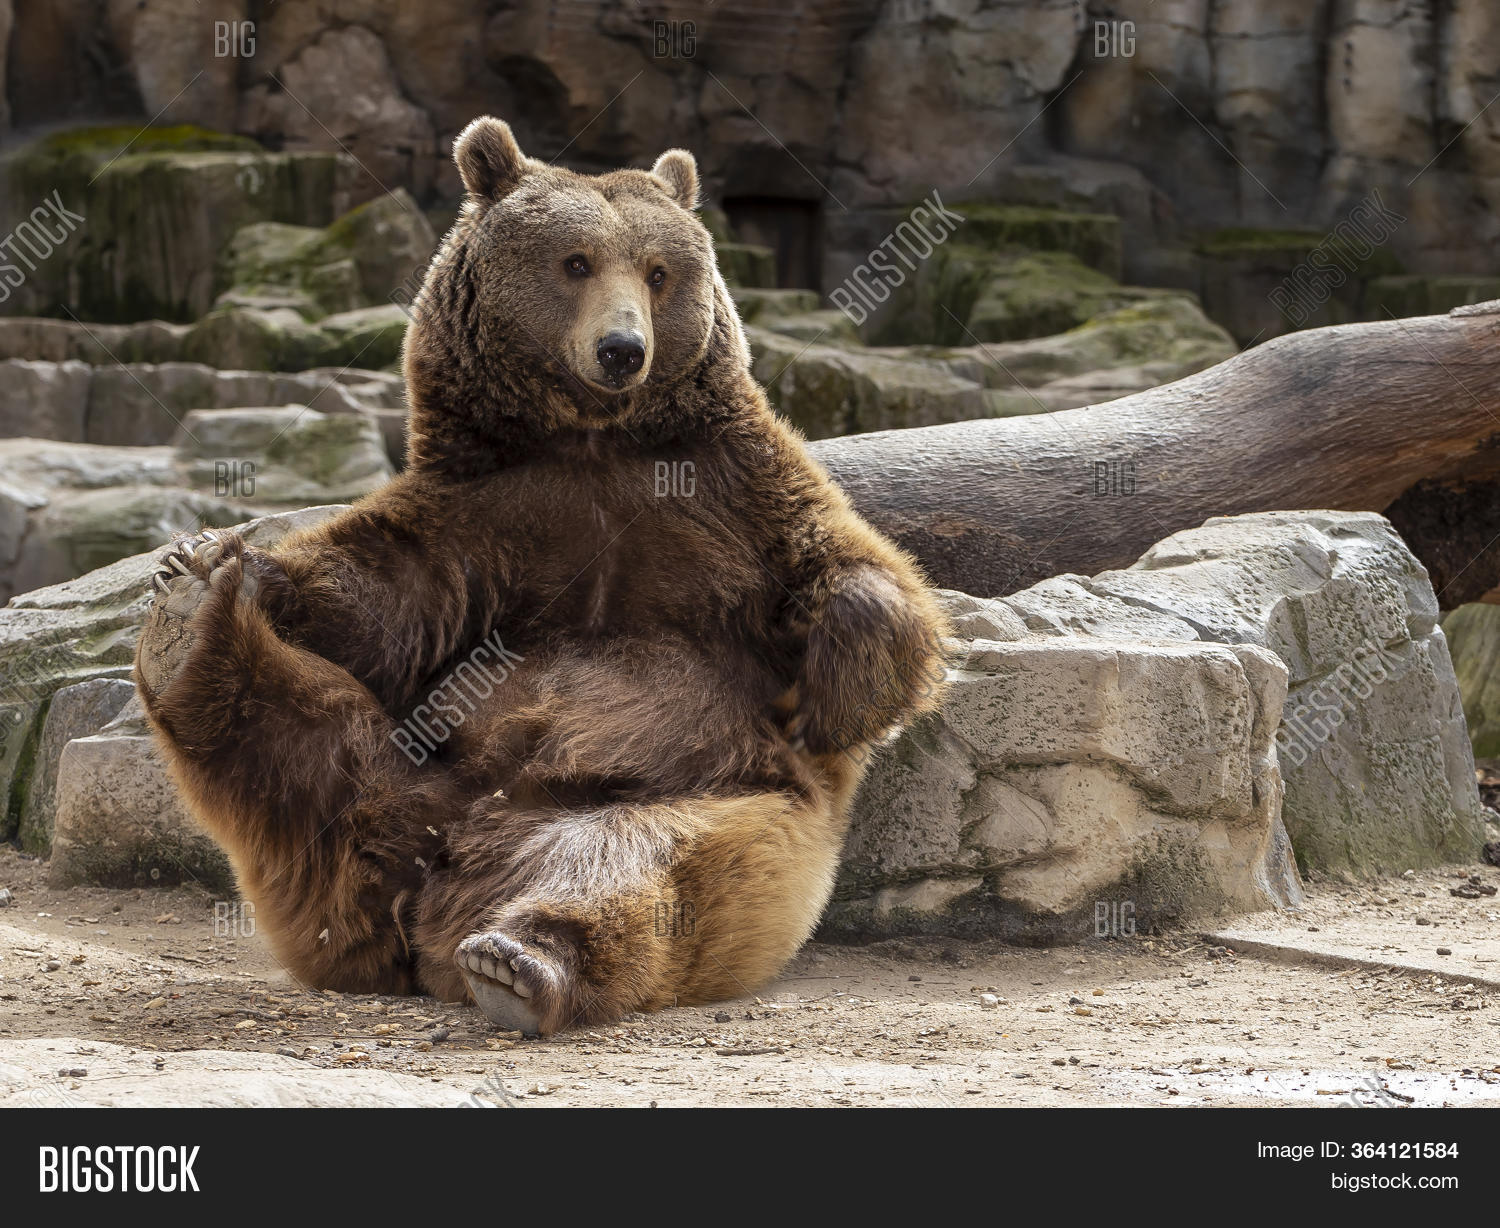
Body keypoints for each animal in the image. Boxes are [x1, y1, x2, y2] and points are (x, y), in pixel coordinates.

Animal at [133, 115, 947, 1036]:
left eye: (659, 271)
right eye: (576, 261)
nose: (623, 349)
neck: (591, 441)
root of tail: (428, 899)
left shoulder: (731, 491)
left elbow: (853, 565)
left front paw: (838, 692)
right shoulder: (484, 512)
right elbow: (382, 596)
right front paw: (236, 558)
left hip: (692, 794)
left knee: (634, 862)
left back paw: (521, 960)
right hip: (397, 776)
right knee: (304, 744)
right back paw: (190, 625)